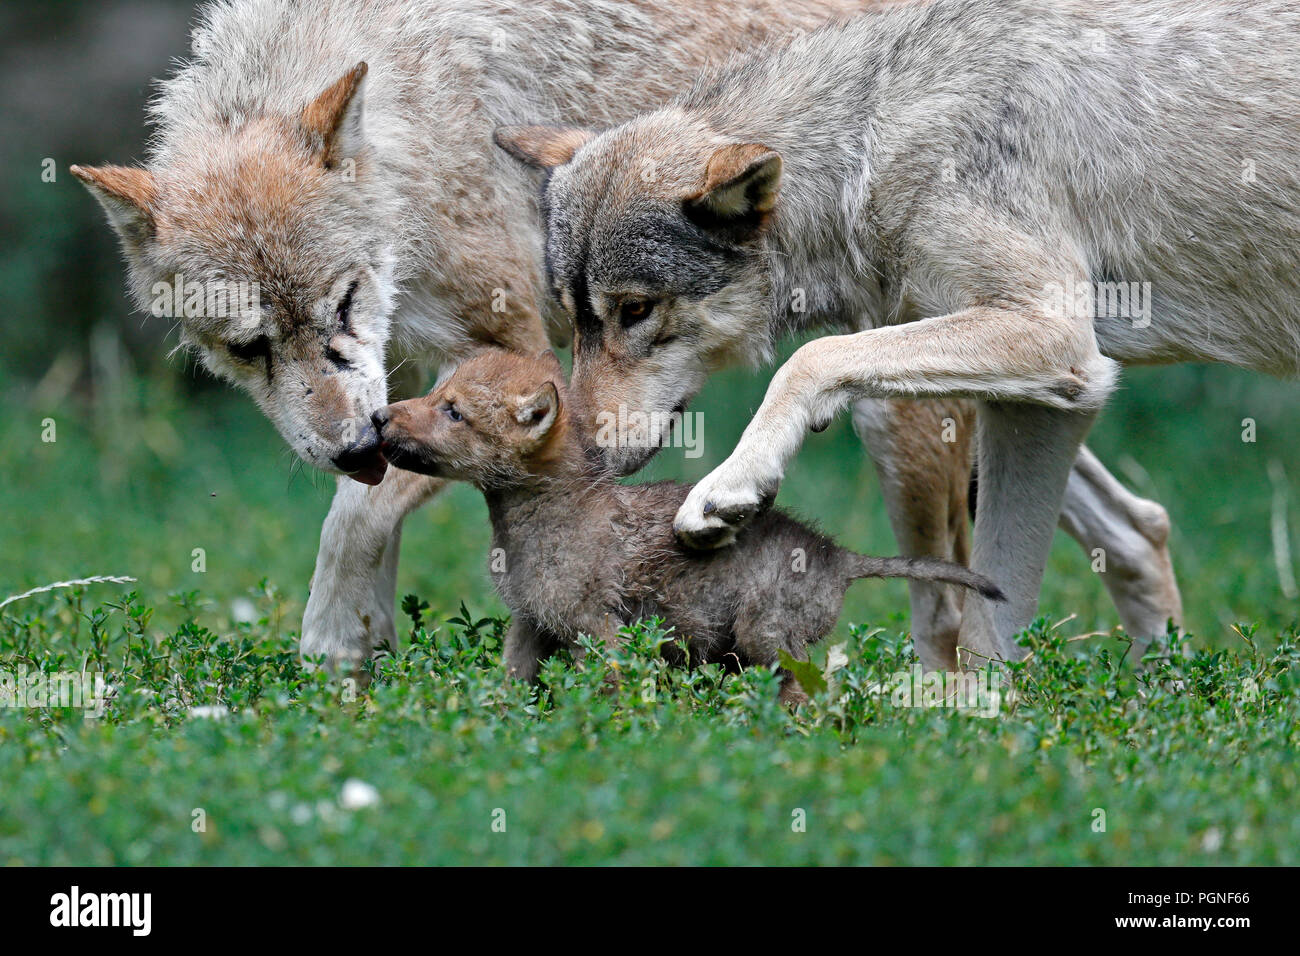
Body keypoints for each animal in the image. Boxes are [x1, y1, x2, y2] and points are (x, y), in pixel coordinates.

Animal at [373, 348, 1002, 700]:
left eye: (454, 412)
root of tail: (838, 556)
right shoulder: (532, 622)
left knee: (814, 690)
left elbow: (614, 695)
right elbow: (509, 687)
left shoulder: (596, 628)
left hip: (764, 639)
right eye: (436, 392)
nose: (379, 416)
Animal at [496, 0, 1298, 667]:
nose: (580, 455)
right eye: (577, 320)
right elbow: (992, 612)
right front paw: (983, 721)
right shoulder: (1052, 399)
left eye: (635, 311)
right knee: (1139, 530)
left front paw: (731, 486)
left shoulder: (1056, 338)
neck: (873, 144)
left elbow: (812, 357)